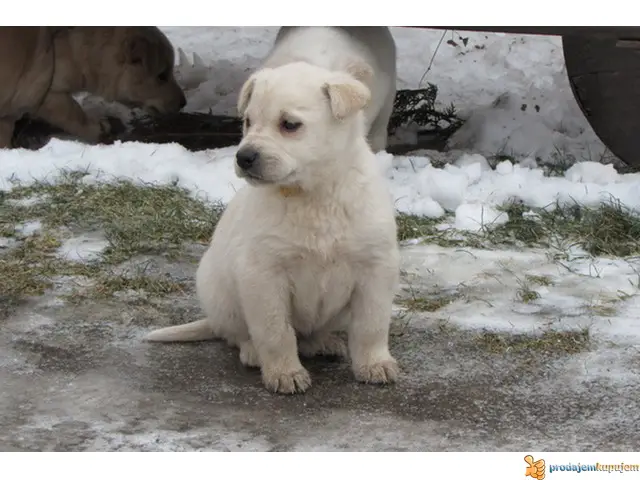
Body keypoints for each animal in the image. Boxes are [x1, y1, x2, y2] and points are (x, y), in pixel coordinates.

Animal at [148, 62, 402, 396]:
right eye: (248, 121)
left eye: (289, 124)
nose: (243, 157)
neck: (312, 195)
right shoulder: (264, 274)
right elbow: (275, 331)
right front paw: (285, 373)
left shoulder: (376, 267)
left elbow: (371, 325)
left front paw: (375, 364)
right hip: (219, 293)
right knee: (238, 335)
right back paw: (254, 352)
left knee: (310, 336)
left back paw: (323, 343)